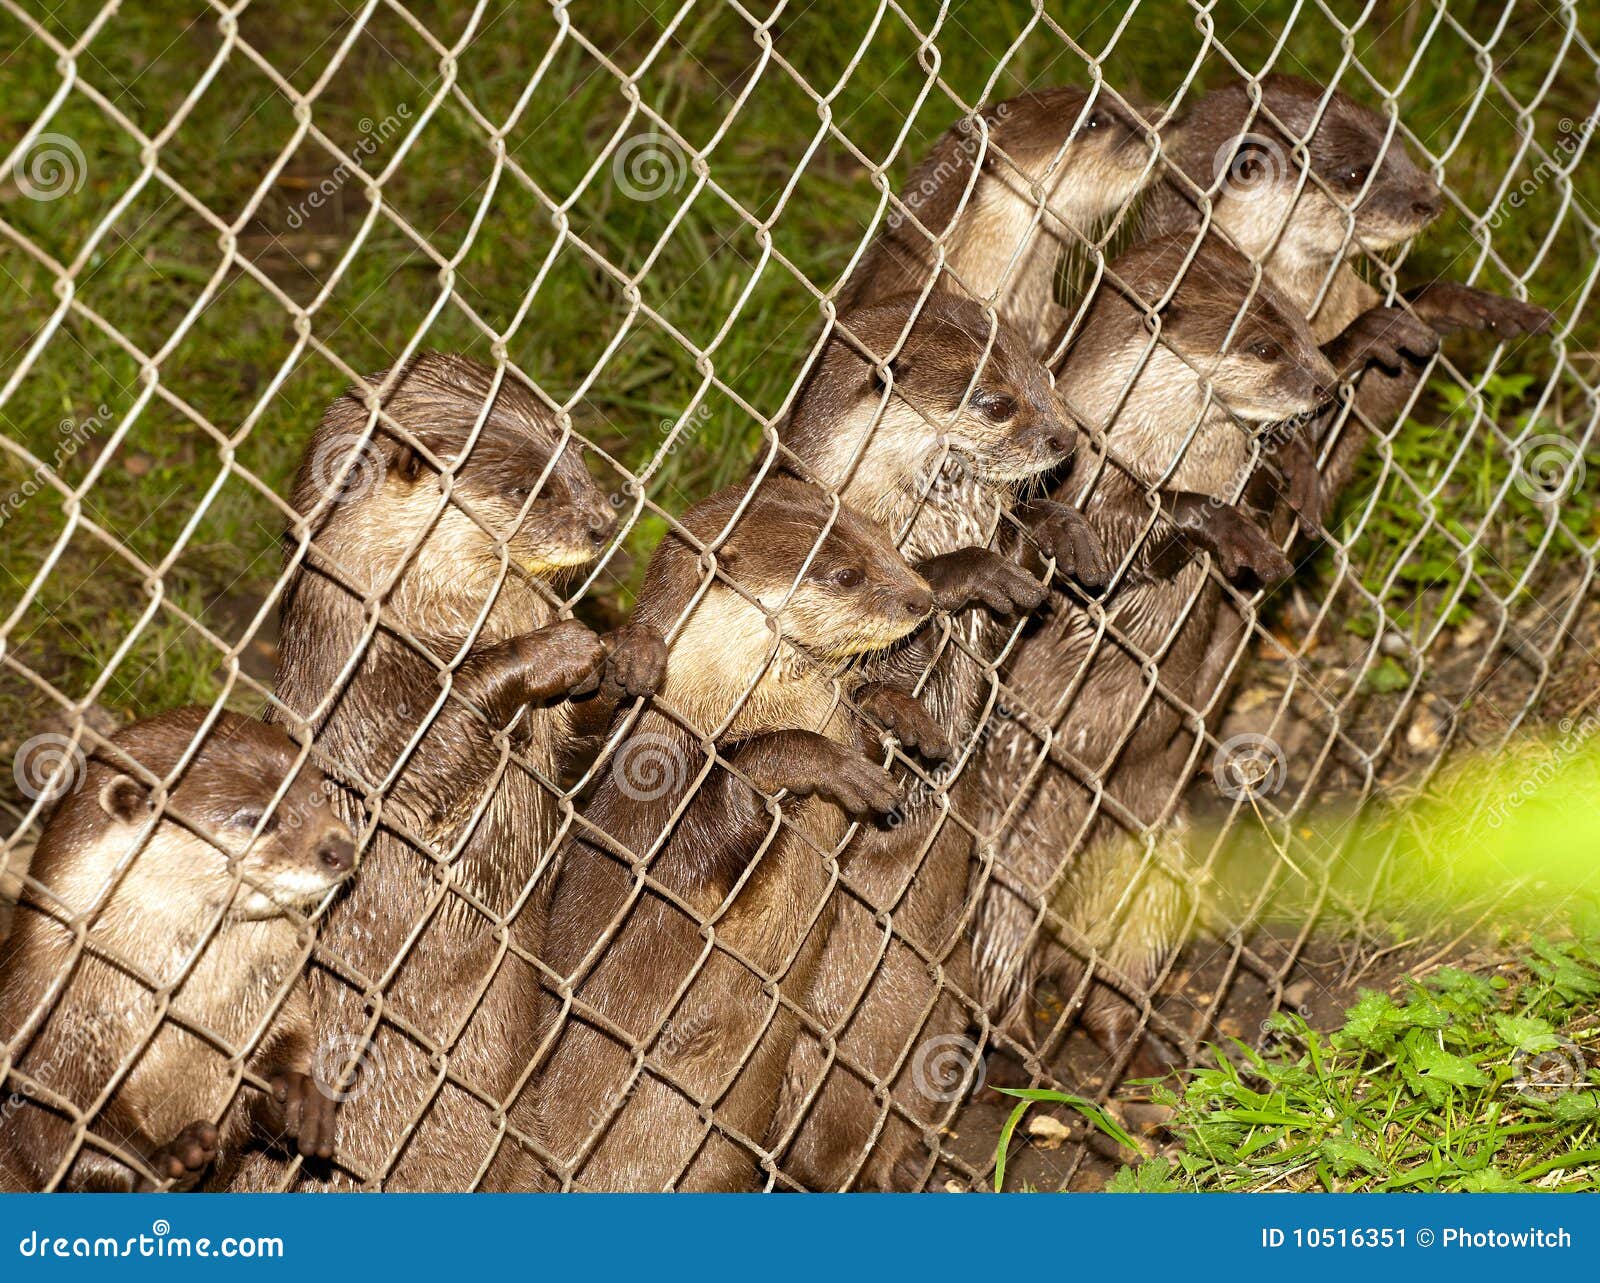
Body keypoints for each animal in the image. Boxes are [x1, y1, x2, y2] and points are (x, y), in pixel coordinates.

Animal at [0, 708, 356, 1192]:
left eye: (322, 796)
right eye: (255, 819)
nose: (341, 849)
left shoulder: (277, 1004)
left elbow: (286, 1049)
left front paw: (301, 1097)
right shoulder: (43, 1034)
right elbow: (50, 1134)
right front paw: (165, 1159)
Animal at [231, 352, 663, 1191]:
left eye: (575, 453)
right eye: (531, 488)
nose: (603, 520)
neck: (412, 624)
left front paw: (627, 651)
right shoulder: (362, 722)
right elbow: (428, 757)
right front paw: (551, 651)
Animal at [524, 474, 952, 1190]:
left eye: (882, 537)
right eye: (845, 574)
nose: (922, 596)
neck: (716, 705)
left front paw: (897, 710)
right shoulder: (649, 811)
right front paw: (815, 761)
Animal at [970, 234, 1337, 1070]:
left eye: (1302, 322)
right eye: (1262, 346)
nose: (1327, 384)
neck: (1160, 447)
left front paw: (1290, 474)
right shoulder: (1083, 487)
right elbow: (1128, 534)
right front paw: (1218, 523)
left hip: (1156, 862)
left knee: (1118, 971)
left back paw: (1143, 1049)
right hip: (1014, 858)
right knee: (1001, 967)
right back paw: (1032, 1060)